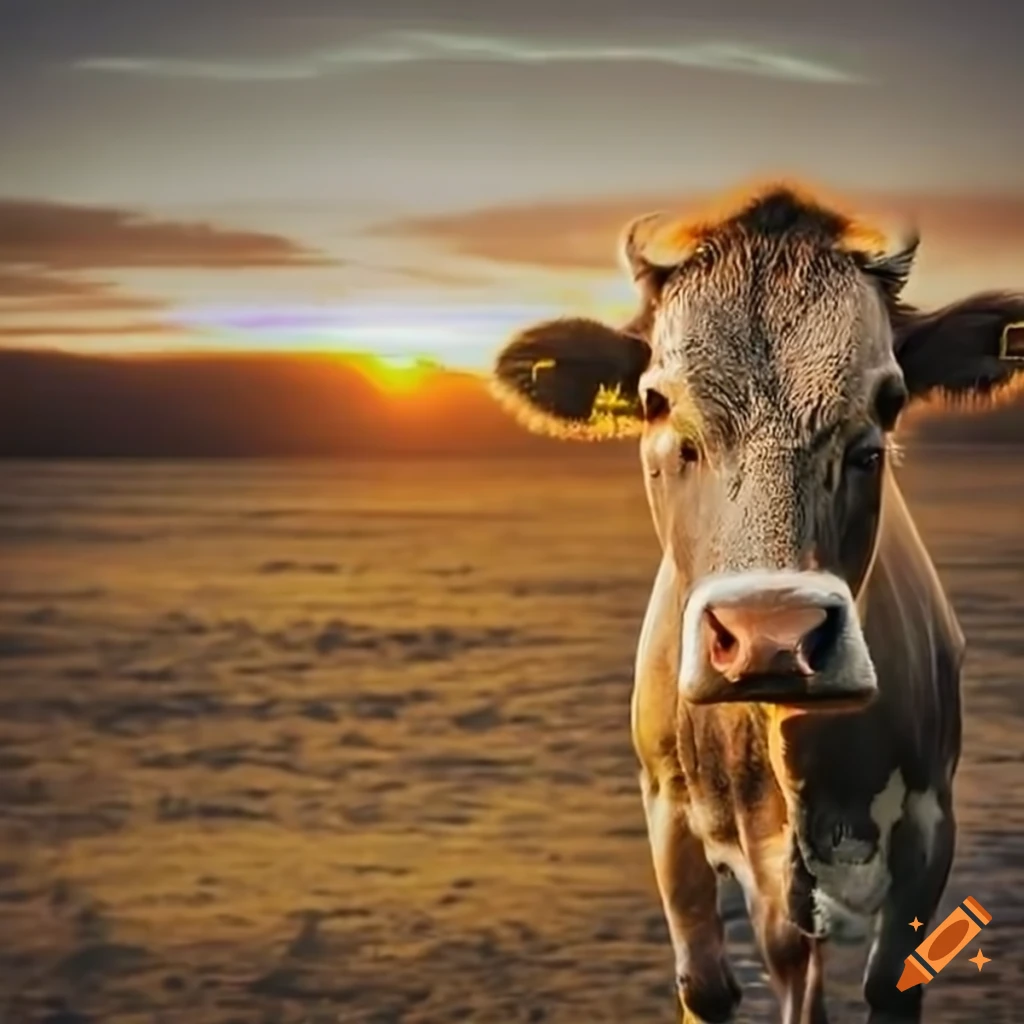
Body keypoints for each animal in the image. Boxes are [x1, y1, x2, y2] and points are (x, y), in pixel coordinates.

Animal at [489, 183, 1024, 1024]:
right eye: (653, 400)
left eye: (891, 400)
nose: (771, 635)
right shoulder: (669, 813)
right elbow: (709, 983)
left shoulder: (930, 821)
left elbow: (888, 981)